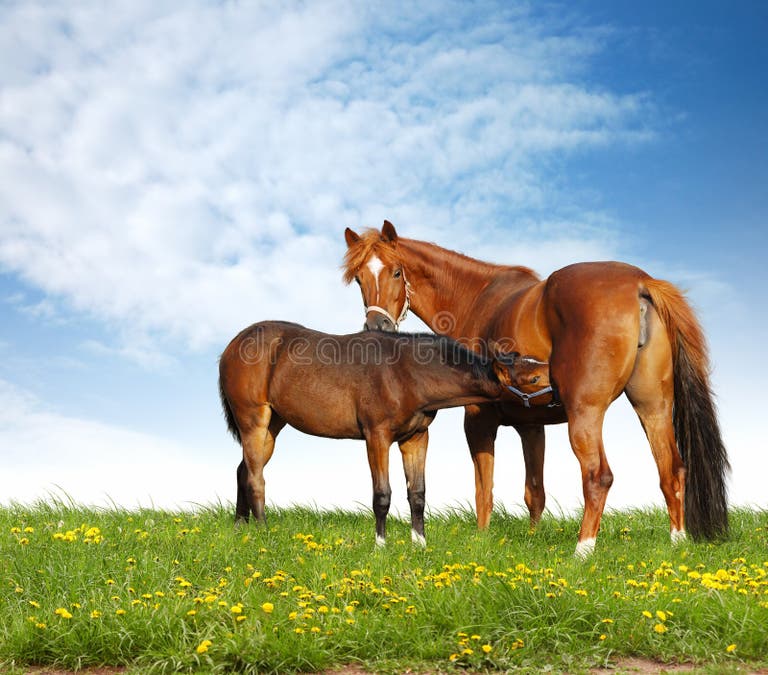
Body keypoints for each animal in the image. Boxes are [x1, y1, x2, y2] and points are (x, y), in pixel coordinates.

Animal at [219, 321, 527, 545]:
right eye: (531, 378)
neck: (405, 372)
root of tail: (233, 344)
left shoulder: (415, 438)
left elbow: (417, 493)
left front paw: (419, 544)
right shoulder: (377, 437)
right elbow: (382, 494)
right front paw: (380, 545)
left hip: (272, 426)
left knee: (244, 470)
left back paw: (240, 528)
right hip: (254, 423)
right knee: (256, 479)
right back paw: (263, 532)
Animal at [343, 221, 729, 556]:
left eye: (396, 272)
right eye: (359, 278)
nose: (376, 327)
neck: (477, 300)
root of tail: (640, 283)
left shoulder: (479, 421)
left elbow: (484, 489)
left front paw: (482, 540)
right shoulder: (531, 426)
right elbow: (534, 491)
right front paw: (532, 539)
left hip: (586, 414)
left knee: (598, 476)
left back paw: (582, 550)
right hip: (653, 406)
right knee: (671, 470)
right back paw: (677, 542)